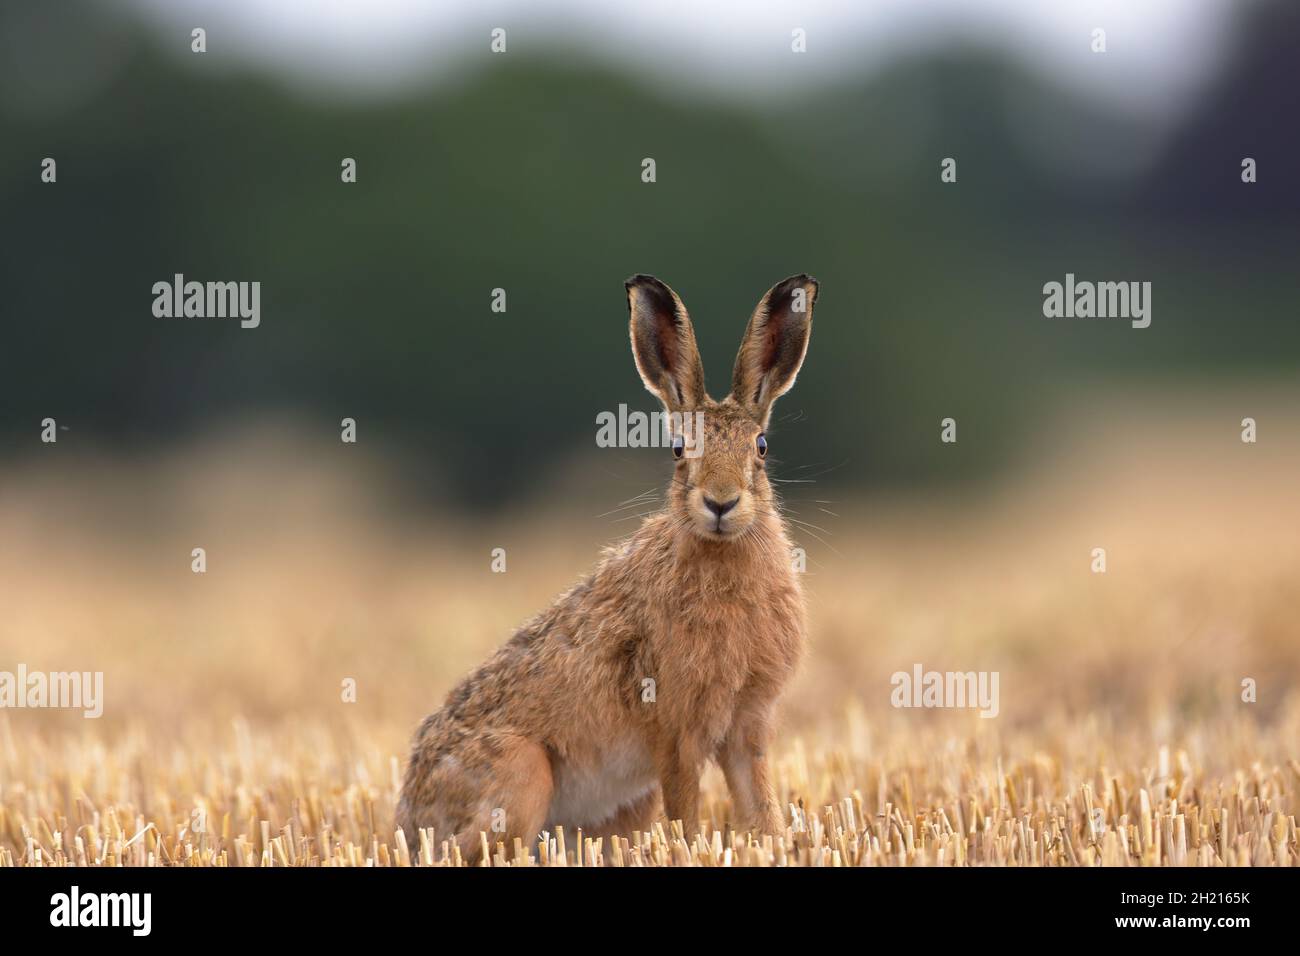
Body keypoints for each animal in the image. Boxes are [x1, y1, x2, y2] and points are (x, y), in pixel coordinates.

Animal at [396, 273, 817, 860]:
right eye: (677, 449)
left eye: (760, 446)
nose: (721, 502)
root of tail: (408, 814)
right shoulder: (675, 728)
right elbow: (686, 810)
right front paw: (691, 849)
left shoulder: (746, 724)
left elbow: (759, 804)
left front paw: (775, 843)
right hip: (523, 775)